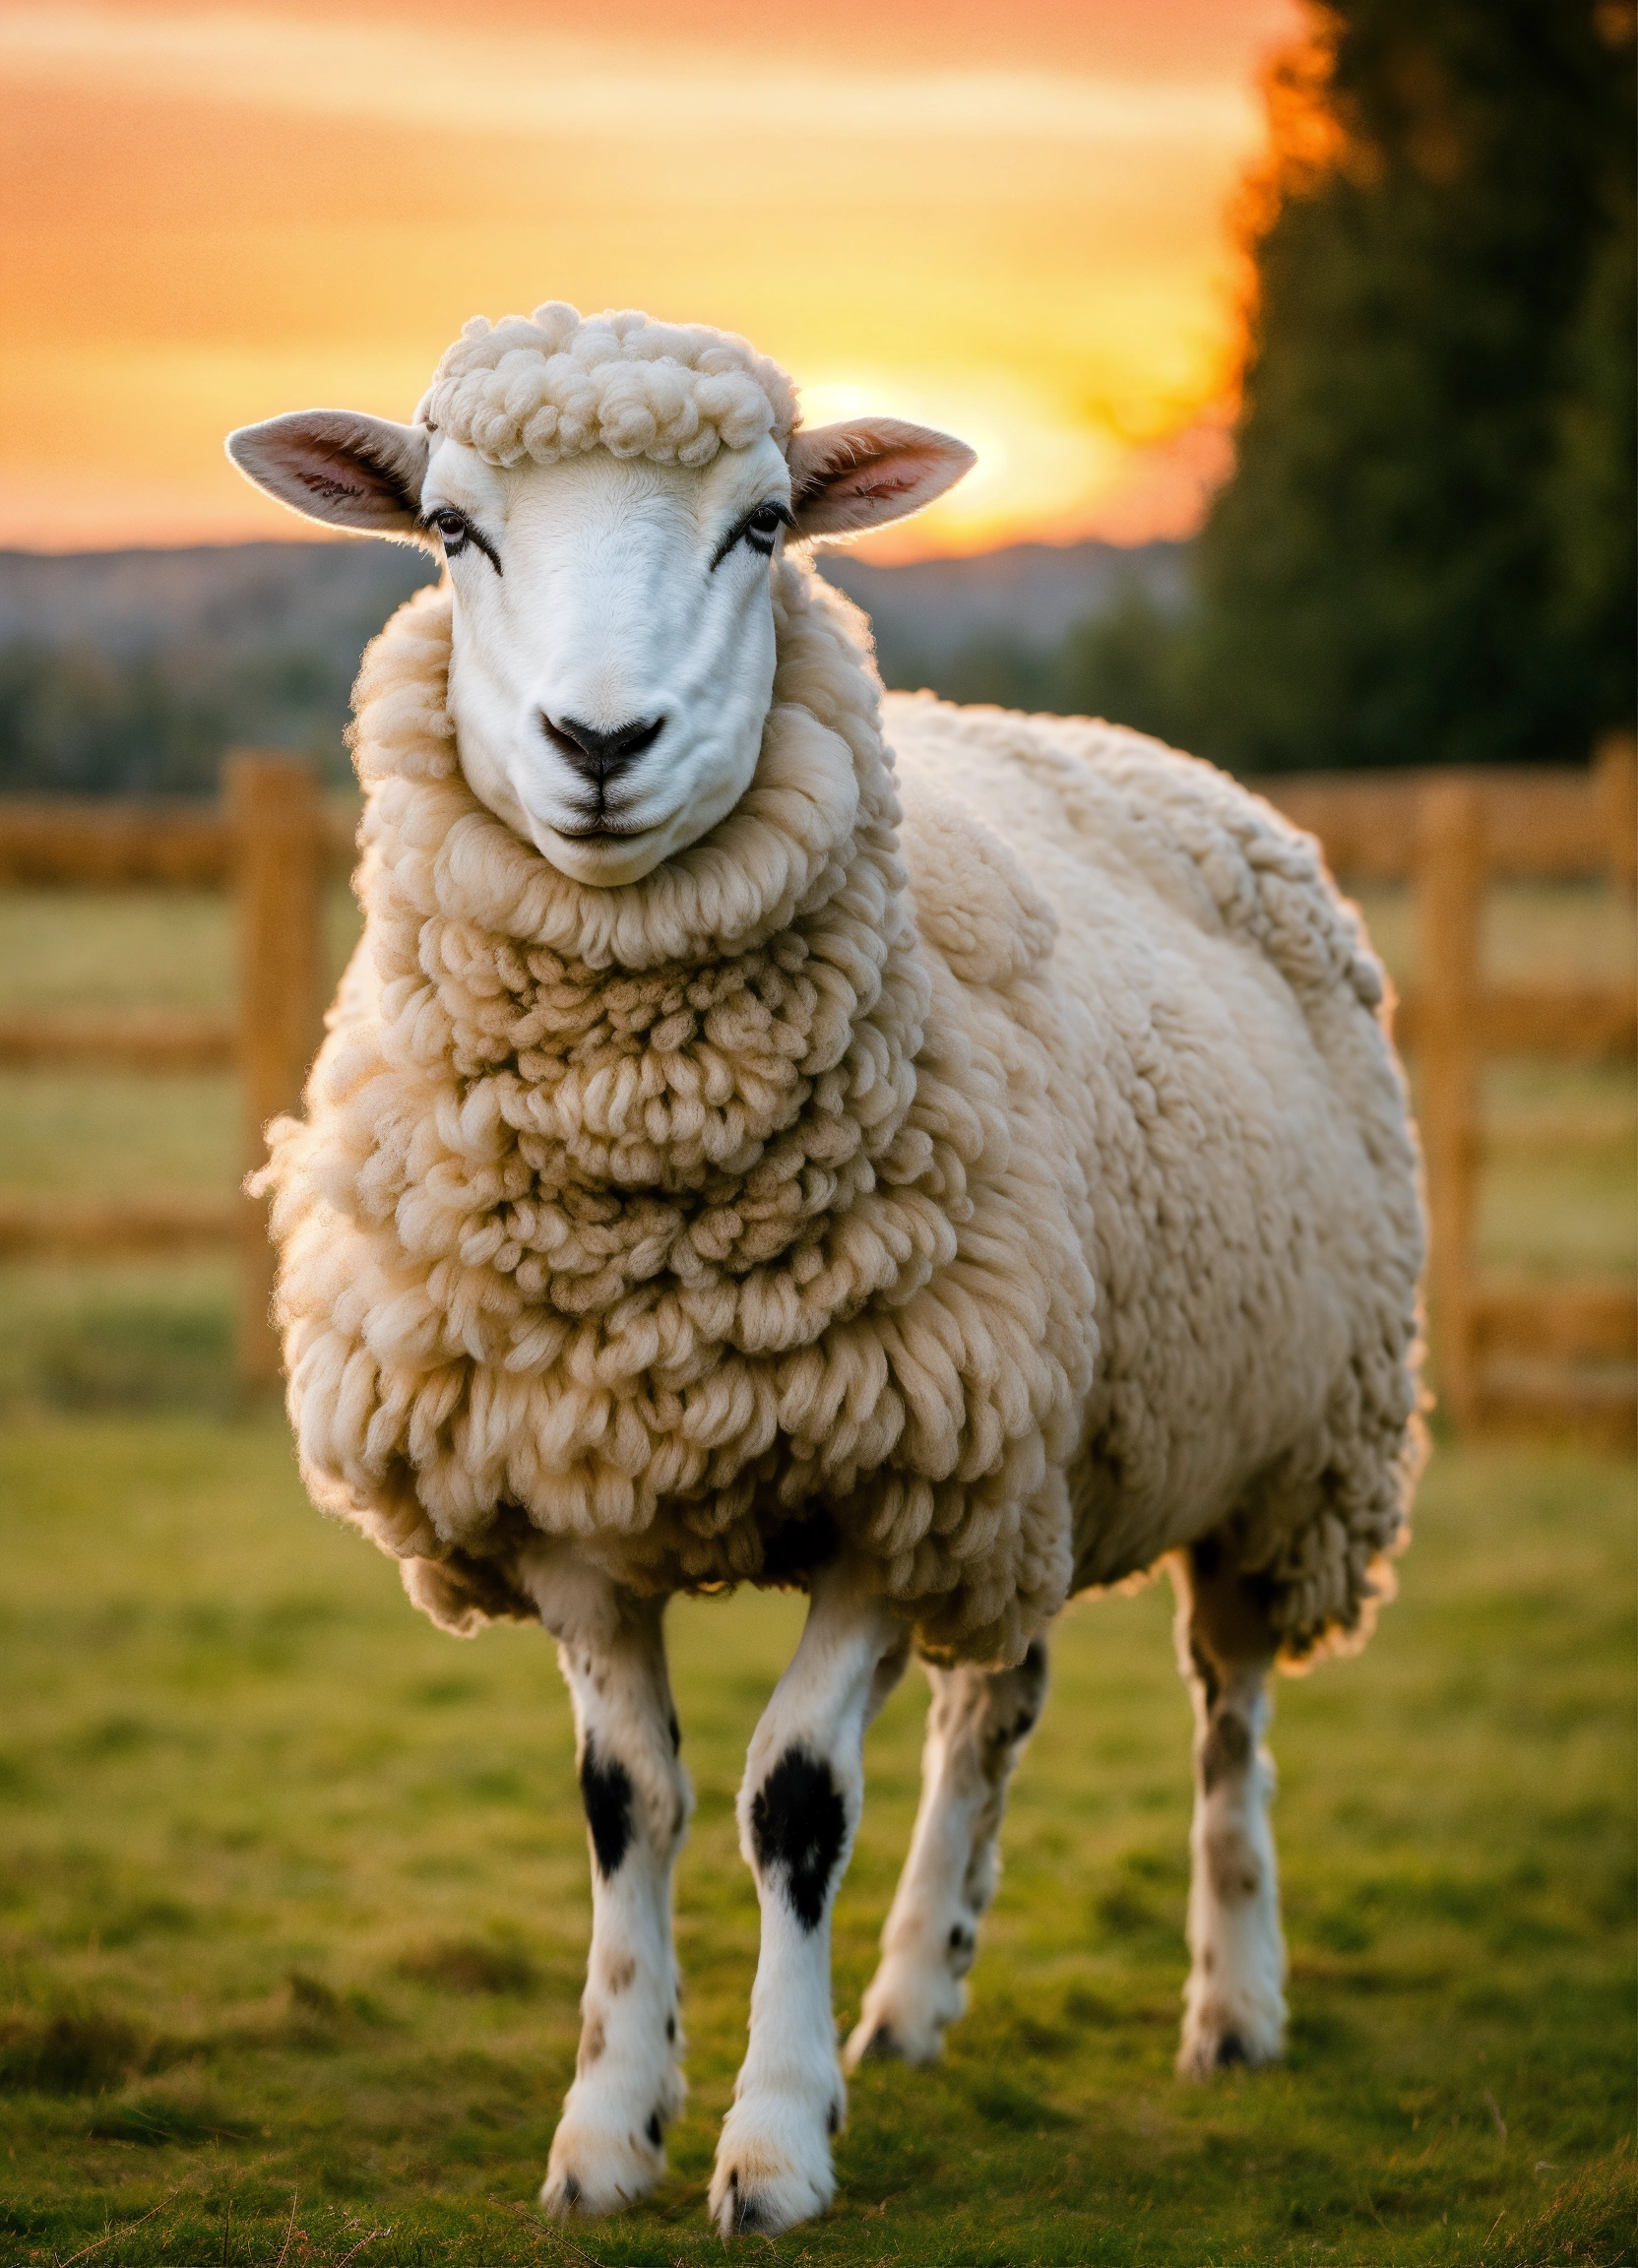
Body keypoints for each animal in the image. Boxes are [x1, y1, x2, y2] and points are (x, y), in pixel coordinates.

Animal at [227, 301, 1426, 2240]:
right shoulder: (578, 1499)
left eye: (766, 525)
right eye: (450, 530)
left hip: (1289, 1445)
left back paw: (1233, 2002)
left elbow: (792, 1801)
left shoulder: (892, 1480)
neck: (654, 1202)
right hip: (1041, 1449)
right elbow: (624, 1800)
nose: (602, 739)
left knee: (1227, 1715)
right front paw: (608, 2126)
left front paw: (774, 2139)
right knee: (994, 1702)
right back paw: (915, 2000)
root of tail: (1120, 745)